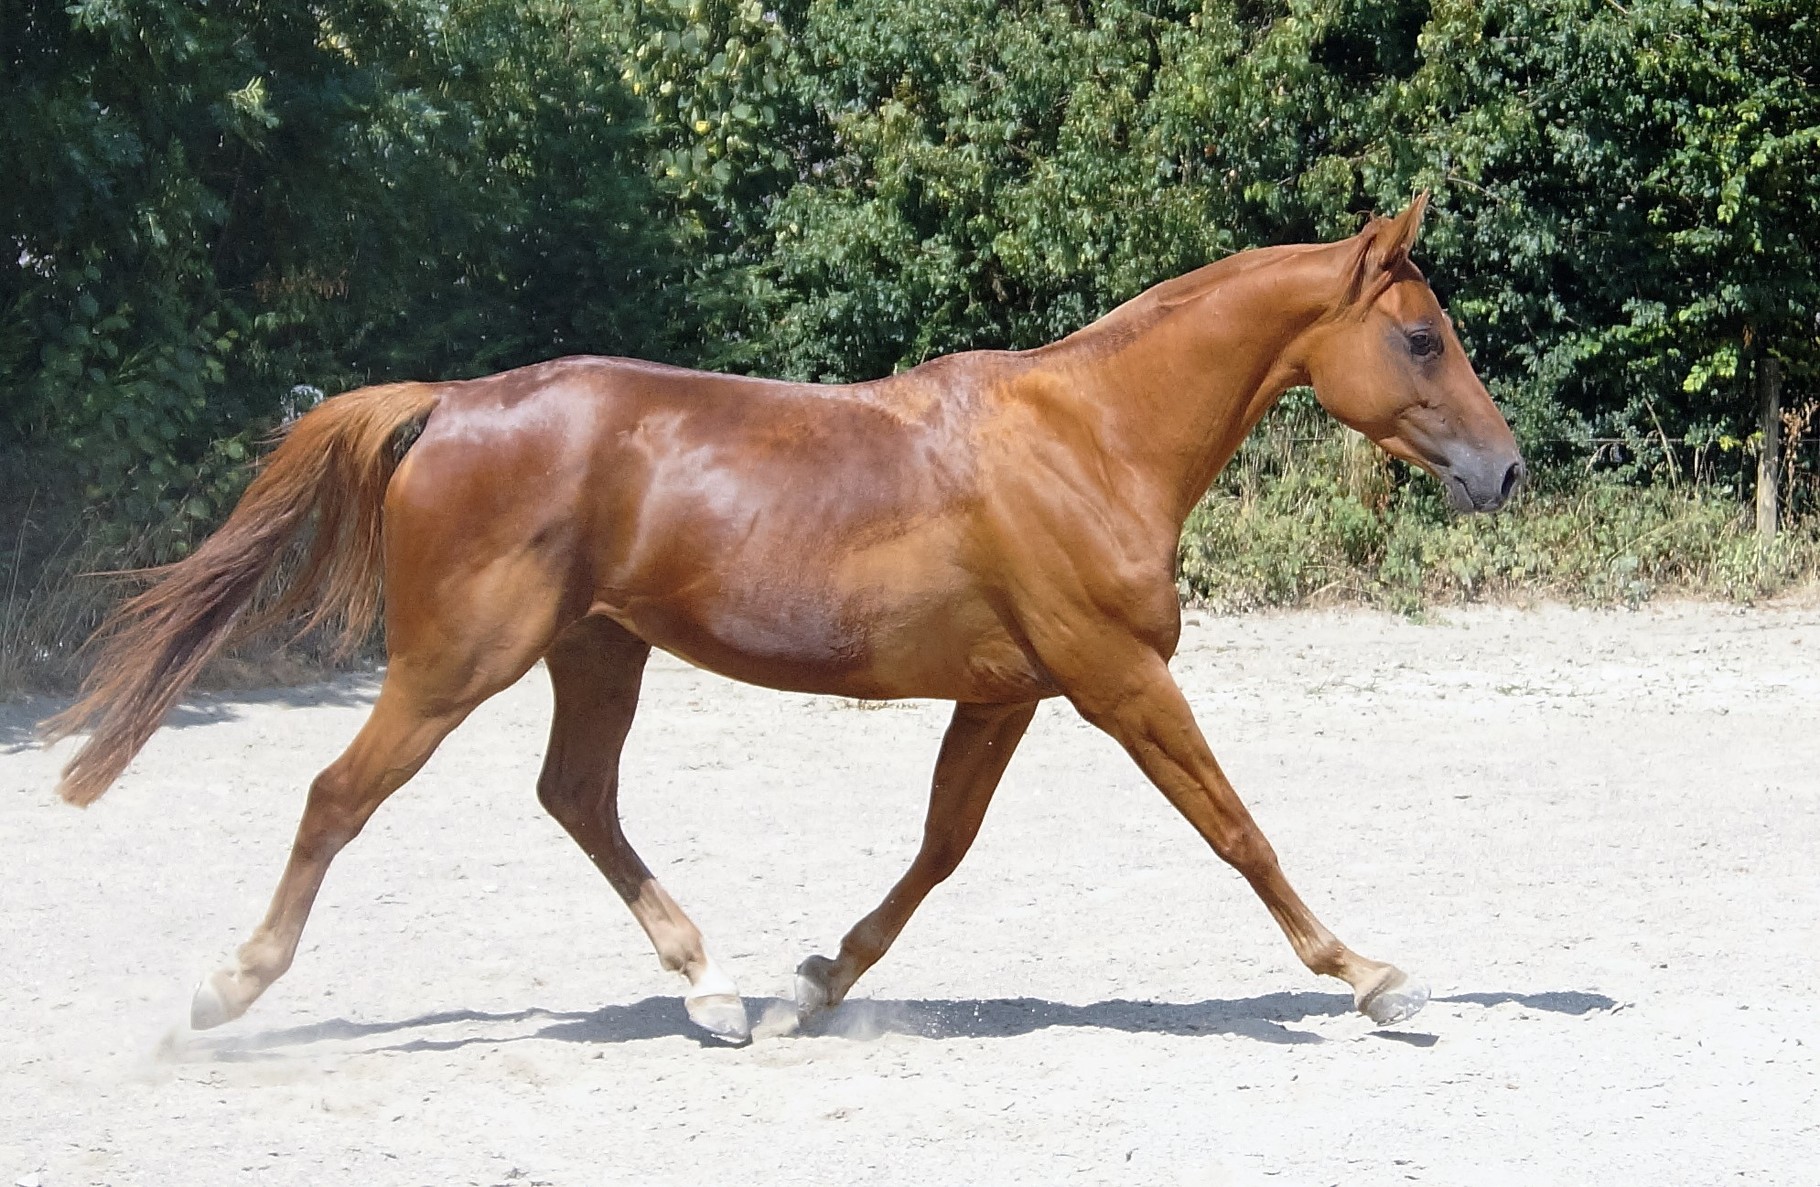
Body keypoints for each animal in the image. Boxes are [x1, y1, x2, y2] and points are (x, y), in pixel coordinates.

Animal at [46, 194, 1522, 1043]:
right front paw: (1376, 977)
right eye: (1421, 338)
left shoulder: (1007, 691)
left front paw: (816, 981)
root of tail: (454, 400)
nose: (1504, 472)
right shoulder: (1118, 679)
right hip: (455, 663)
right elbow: (1237, 829)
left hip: (595, 651)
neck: (1087, 438)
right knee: (339, 794)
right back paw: (227, 988)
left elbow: (938, 848)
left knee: (576, 795)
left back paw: (711, 989)